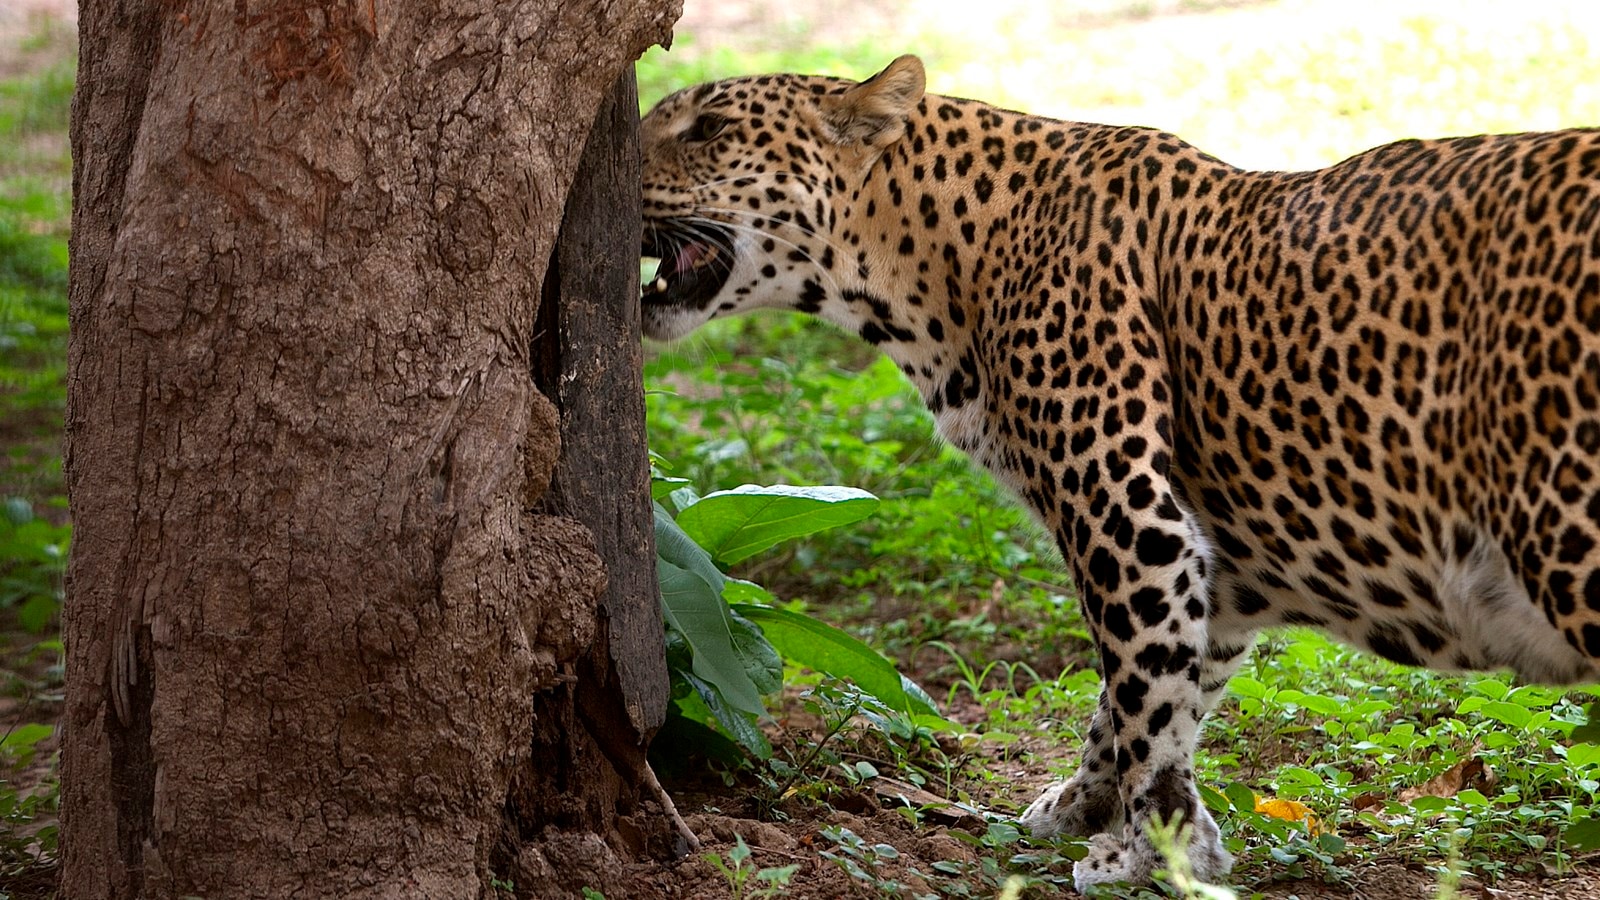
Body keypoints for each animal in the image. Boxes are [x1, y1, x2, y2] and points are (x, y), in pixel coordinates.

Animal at [638, 54, 1600, 889]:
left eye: (707, 128)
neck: (936, 261)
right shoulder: (1211, 562)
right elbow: (1150, 693)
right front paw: (1094, 811)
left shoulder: (1130, 517)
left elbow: (1141, 693)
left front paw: (1145, 849)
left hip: (1564, 525)